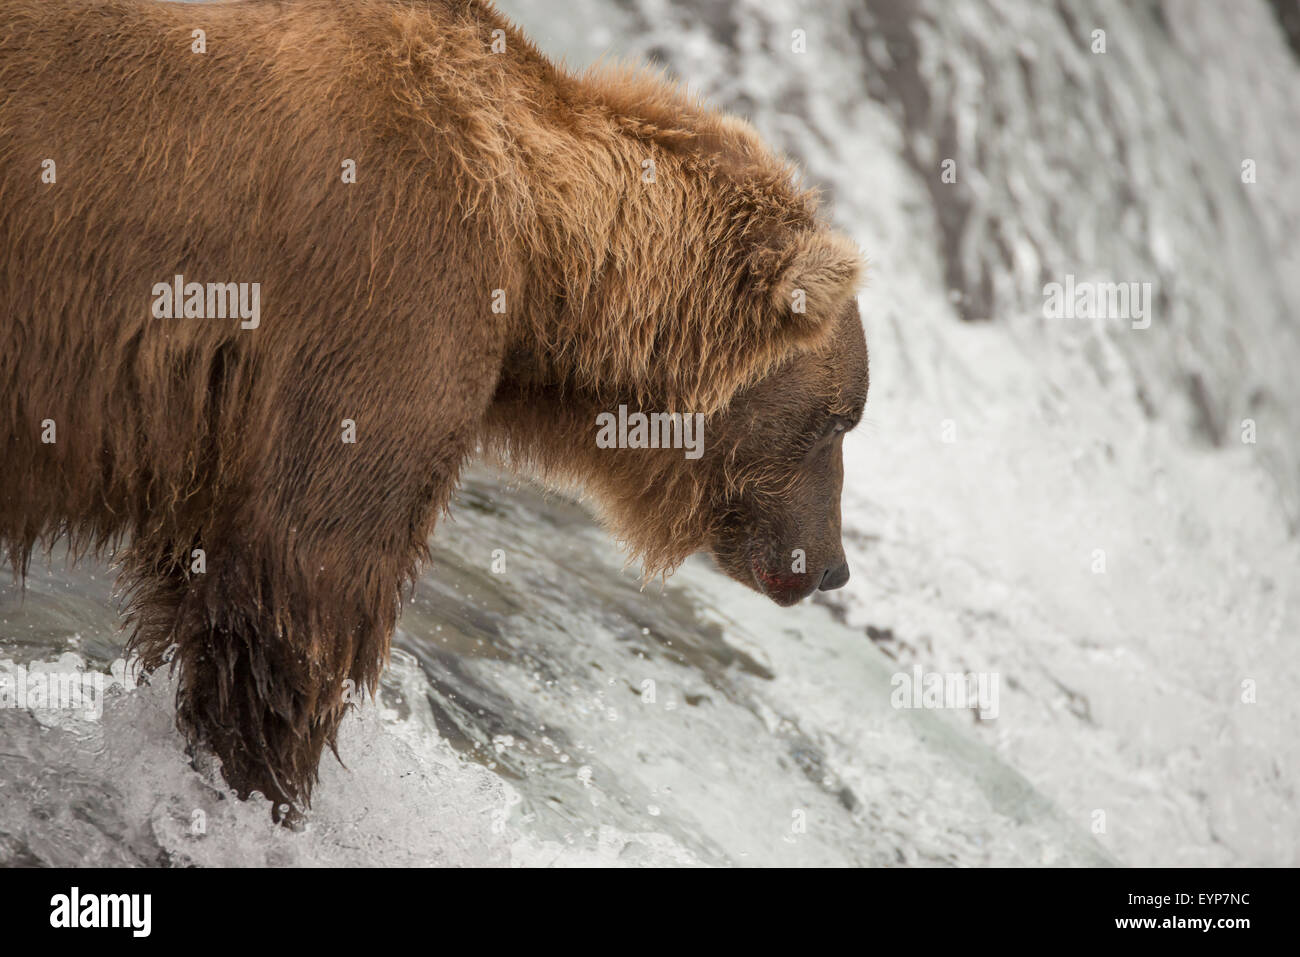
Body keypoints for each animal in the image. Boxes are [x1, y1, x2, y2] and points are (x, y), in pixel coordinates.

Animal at [0, 0, 867, 816]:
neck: (539, 251)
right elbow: (306, 567)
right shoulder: (386, 300)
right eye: (839, 422)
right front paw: (268, 787)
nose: (833, 565)